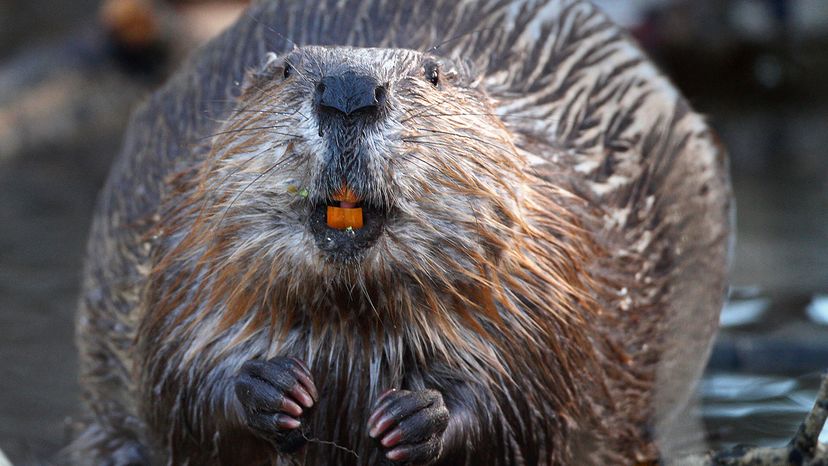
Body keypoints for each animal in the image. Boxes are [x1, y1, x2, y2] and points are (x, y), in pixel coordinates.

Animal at [71, 1, 732, 464]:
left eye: (434, 73)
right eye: (284, 69)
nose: (349, 92)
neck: (351, 324)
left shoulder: (552, 272)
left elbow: (532, 404)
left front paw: (416, 416)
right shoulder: (179, 255)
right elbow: (174, 387)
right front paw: (272, 386)